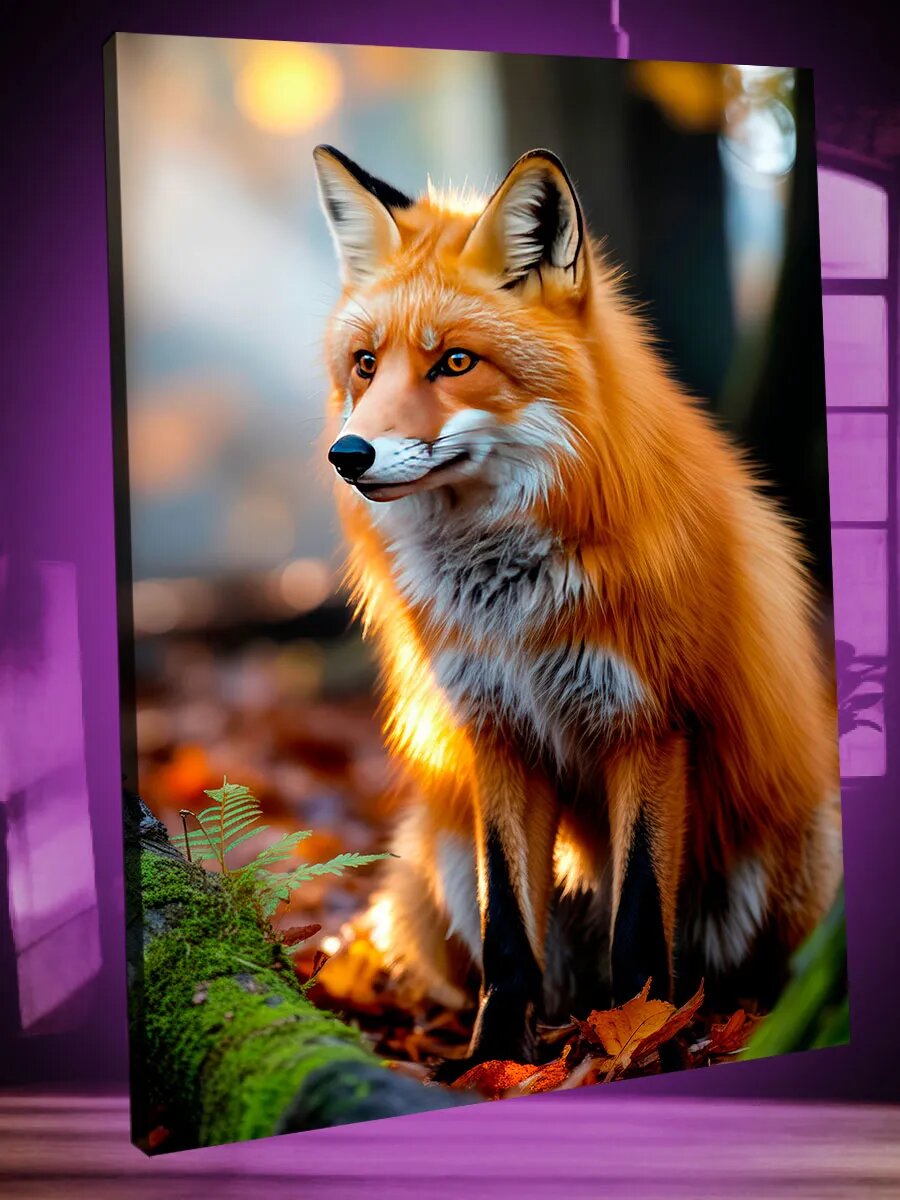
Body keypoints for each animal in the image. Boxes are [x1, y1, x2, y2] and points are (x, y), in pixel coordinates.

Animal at [313, 143, 842, 1071]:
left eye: (456, 362)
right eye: (366, 364)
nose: (350, 454)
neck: (511, 607)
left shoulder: (652, 722)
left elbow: (638, 926)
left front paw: (643, 1038)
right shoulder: (496, 730)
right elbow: (507, 935)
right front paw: (494, 1059)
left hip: (777, 861)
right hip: (438, 856)